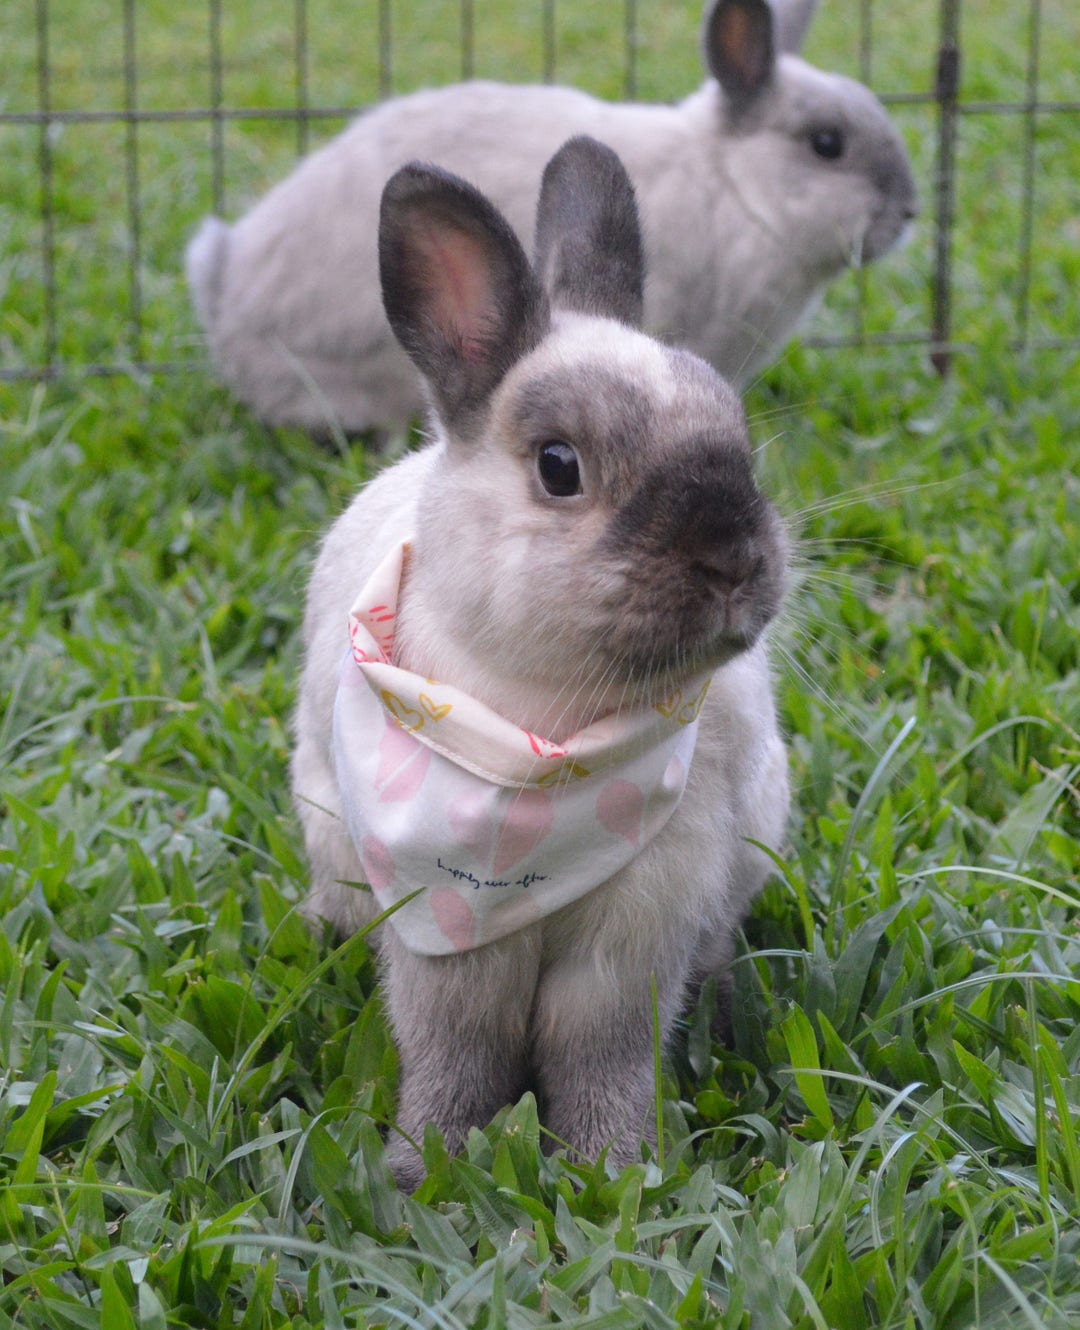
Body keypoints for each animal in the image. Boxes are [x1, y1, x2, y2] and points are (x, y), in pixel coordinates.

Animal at [290, 133, 791, 1190]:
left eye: (738, 441)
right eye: (560, 467)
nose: (734, 559)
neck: (544, 731)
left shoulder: (634, 938)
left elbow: (598, 1053)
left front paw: (613, 1174)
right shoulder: (447, 936)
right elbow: (458, 1052)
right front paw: (419, 1173)